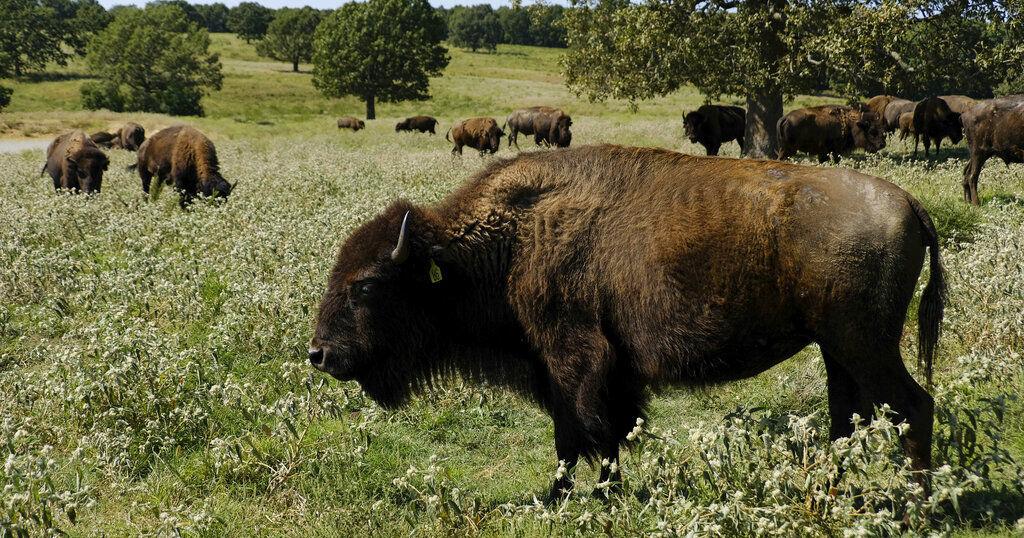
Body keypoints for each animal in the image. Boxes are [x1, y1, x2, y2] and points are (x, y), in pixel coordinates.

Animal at [309, 144, 944, 500]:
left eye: (366, 285)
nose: (319, 355)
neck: (509, 241)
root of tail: (907, 202)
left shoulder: (572, 361)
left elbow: (580, 434)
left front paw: (569, 496)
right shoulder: (601, 371)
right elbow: (603, 434)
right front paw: (594, 493)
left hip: (865, 346)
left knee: (913, 406)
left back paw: (916, 505)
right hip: (838, 351)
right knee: (849, 419)